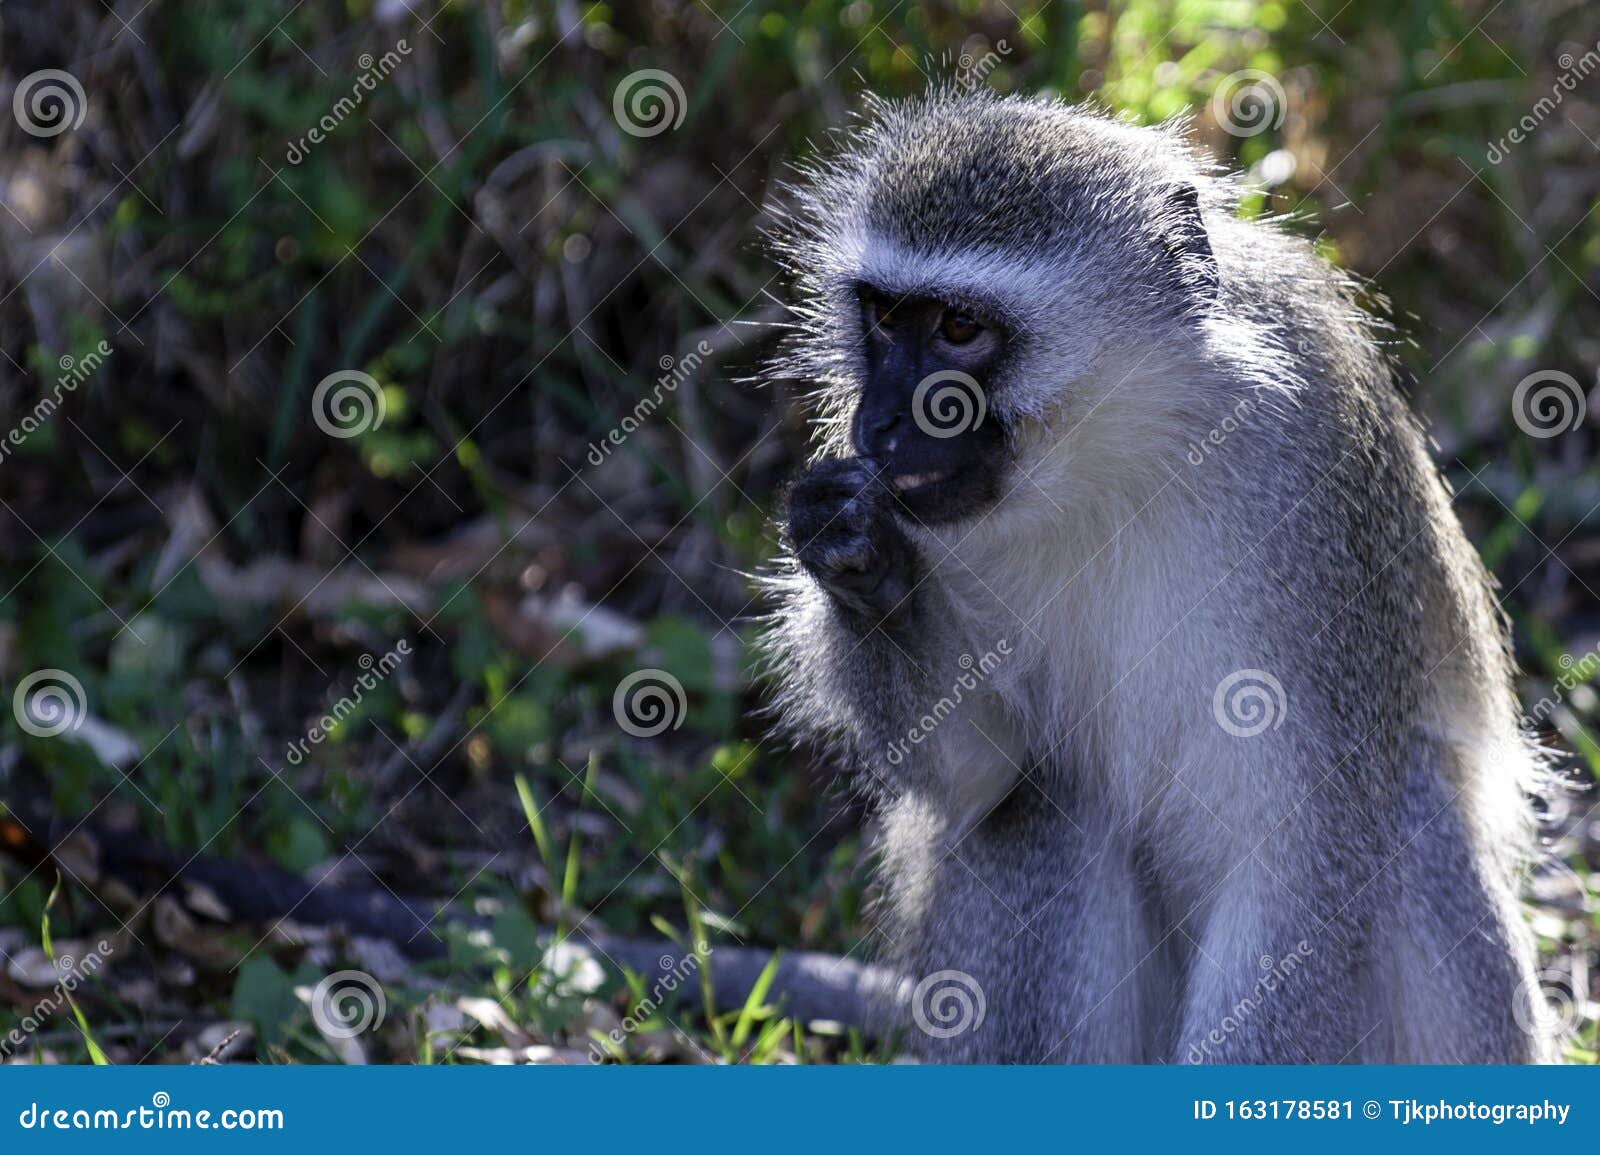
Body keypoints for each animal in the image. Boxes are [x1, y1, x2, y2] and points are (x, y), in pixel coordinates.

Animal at [760, 89, 1554, 1063]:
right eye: (880, 317)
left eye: (959, 328)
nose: (879, 424)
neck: (1116, 452)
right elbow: (977, 770)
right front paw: (859, 557)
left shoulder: (1314, 465)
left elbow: (1304, 858)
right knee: (1050, 802)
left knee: (1408, 811)